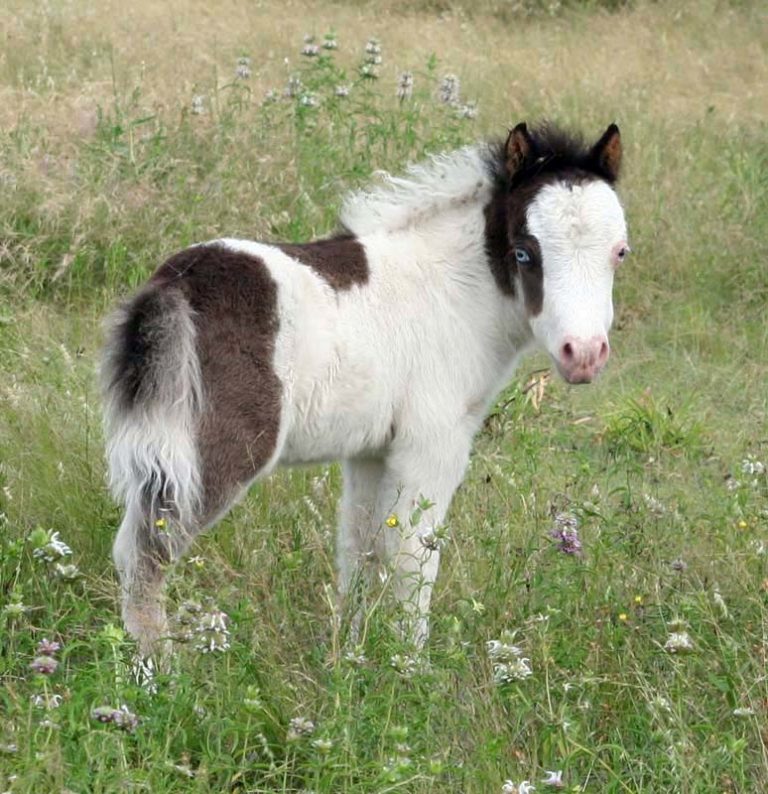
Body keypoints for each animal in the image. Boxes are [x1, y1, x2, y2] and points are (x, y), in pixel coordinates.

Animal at [101, 121, 629, 657]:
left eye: (620, 252)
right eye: (524, 251)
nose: (583, 354)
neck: (454, 288)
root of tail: (173, 286)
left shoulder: (371, 451)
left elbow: (361, 549)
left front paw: (355, 657)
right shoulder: (431, 444)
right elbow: (412, 557)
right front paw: (410, 665)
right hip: (217, 450)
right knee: (145, 552)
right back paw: (157, 669)